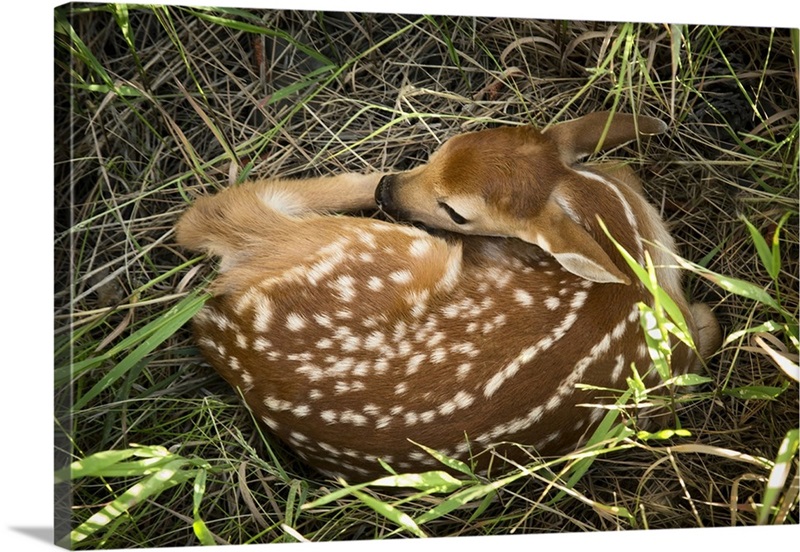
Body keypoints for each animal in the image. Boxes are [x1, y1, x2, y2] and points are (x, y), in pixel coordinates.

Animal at [175, 111, 721, 482]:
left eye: (456, 210)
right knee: (214, 212)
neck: (630, 251)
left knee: (213, 214)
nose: (389, 189)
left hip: (384, 249)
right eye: (446, 146)